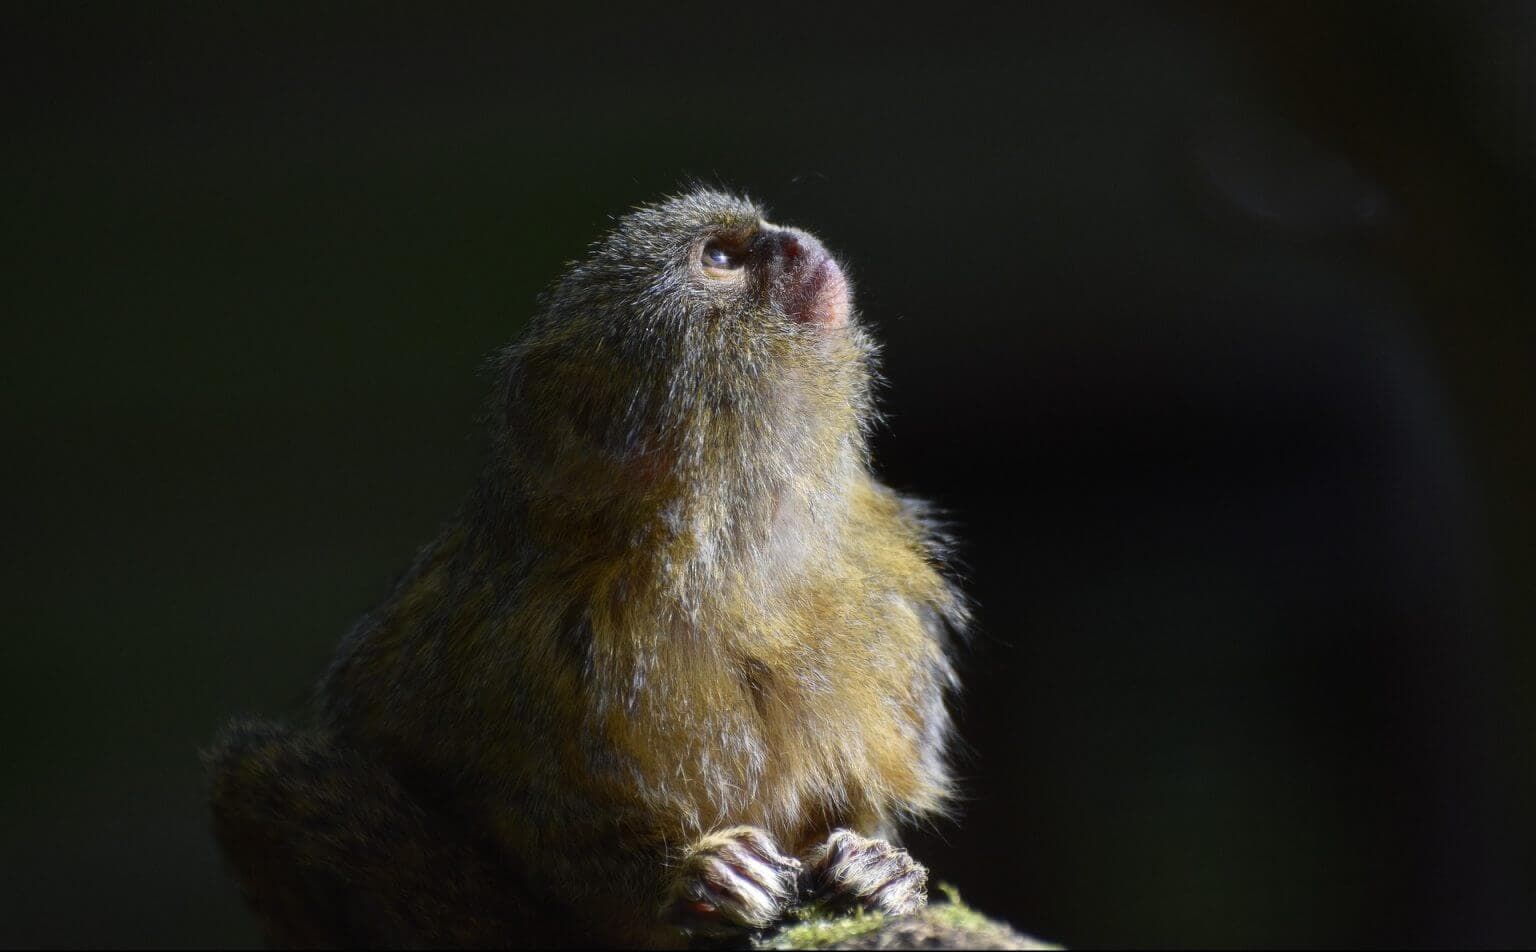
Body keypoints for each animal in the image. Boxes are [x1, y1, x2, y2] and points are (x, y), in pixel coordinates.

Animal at [205, 189, 969, 948]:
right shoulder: (522, 632)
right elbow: (528, 820)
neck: (735, 541)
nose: (794, 240)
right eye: (721, 259)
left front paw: (877, 869)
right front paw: (691, 881)